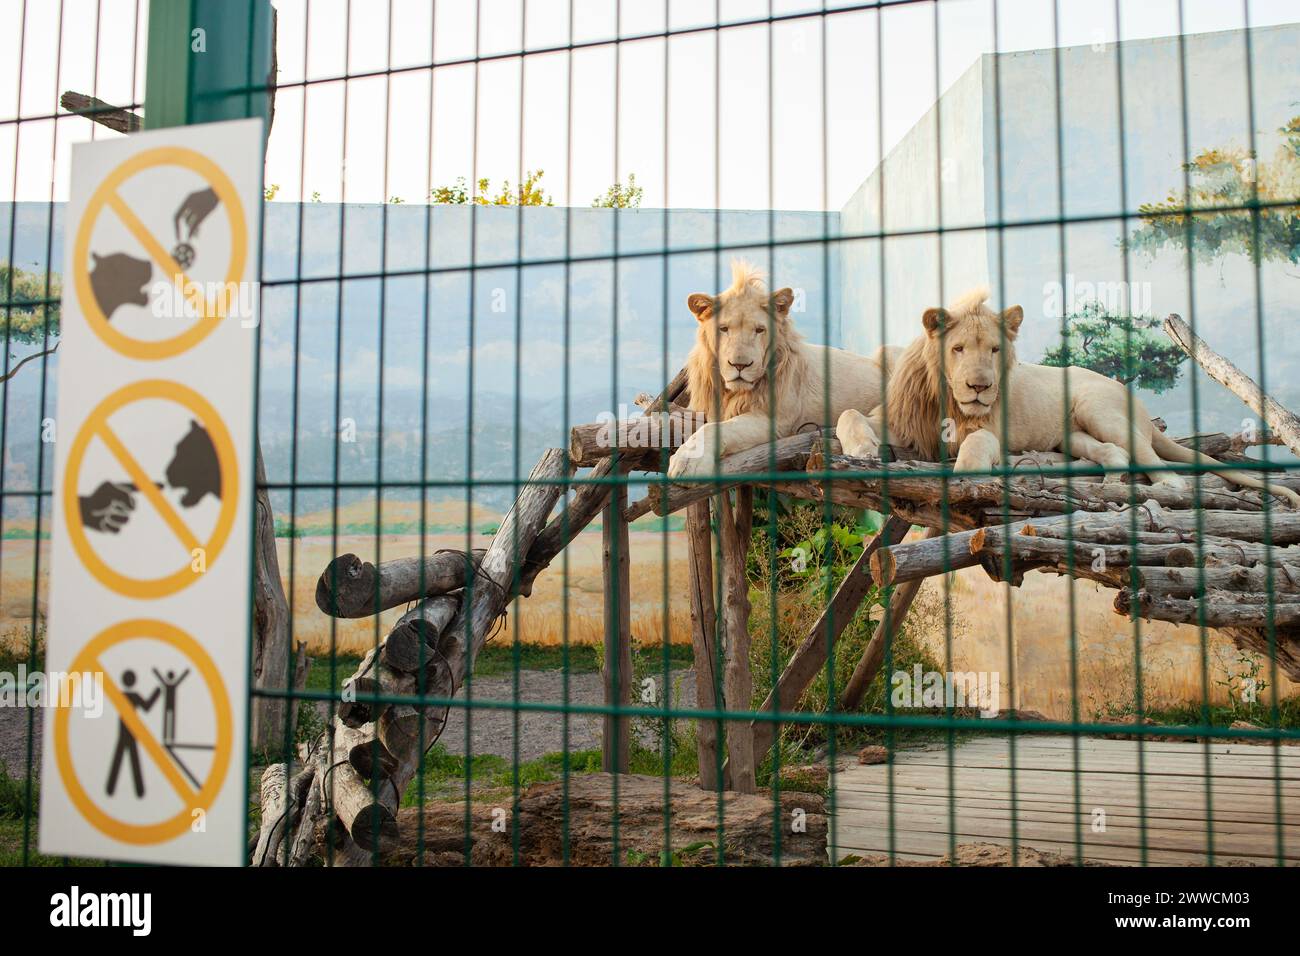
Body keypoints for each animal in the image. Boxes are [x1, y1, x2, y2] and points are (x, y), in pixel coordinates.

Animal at [666, 260, 893, 479]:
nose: (740, 365)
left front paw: (688, 461)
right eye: (723, 329)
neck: (732, 392)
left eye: (759, 330)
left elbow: (718, 428)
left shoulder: (776, 421)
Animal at [836, 286, 1300, 508]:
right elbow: (849, 414)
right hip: (1073, 435)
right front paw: (862, 449)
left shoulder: (990, 430)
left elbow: (976, 443)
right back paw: (1105, 483)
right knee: (1114, 454)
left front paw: (967, 475)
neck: (949, 400)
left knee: (1164, 472)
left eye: (995, 350)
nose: (980, 386)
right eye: (959, 349)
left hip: (1100, 410)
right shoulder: (903, 422)